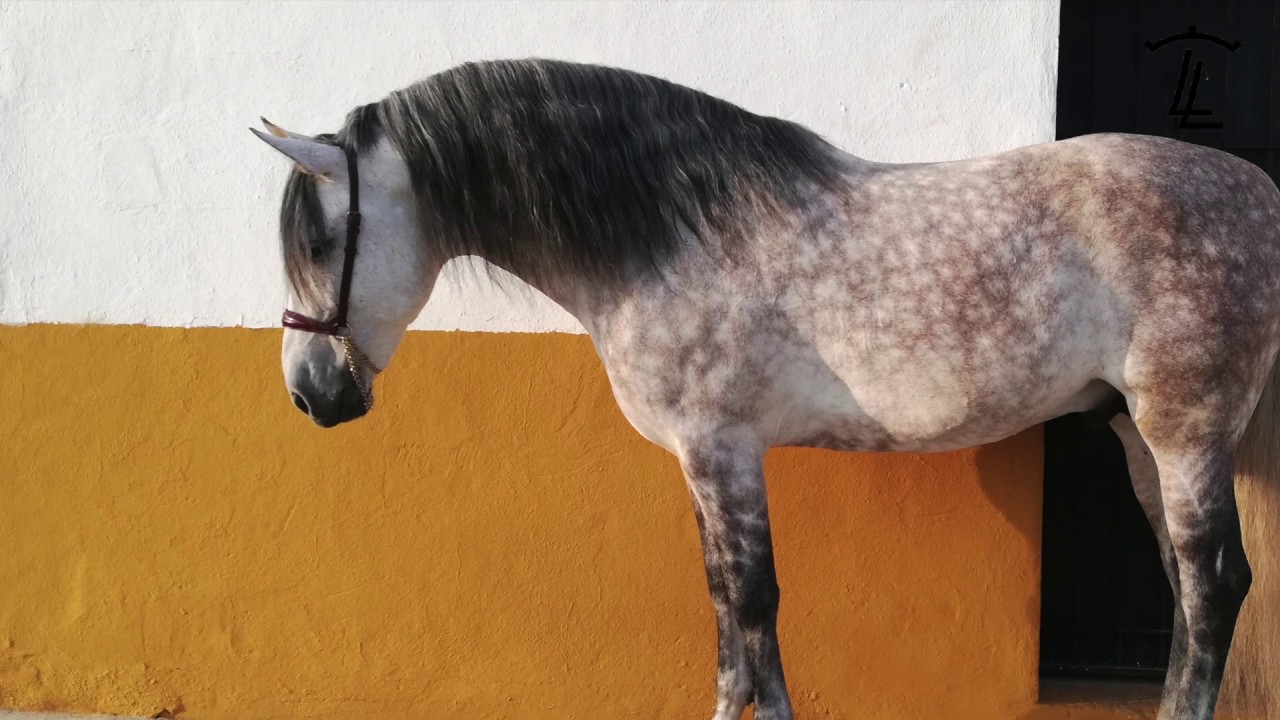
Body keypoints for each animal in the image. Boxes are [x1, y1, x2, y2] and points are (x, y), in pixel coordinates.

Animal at [251, 59, 1280, 720]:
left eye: (319, 241)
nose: (310, 396)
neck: (670, 234)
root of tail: (1262, 194)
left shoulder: (723, 451)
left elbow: (752, 602)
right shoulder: (703, 461)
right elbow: (722, 608)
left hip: (1186, 432)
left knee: (1215, 585)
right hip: (1137, 435)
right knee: (1185, 590)